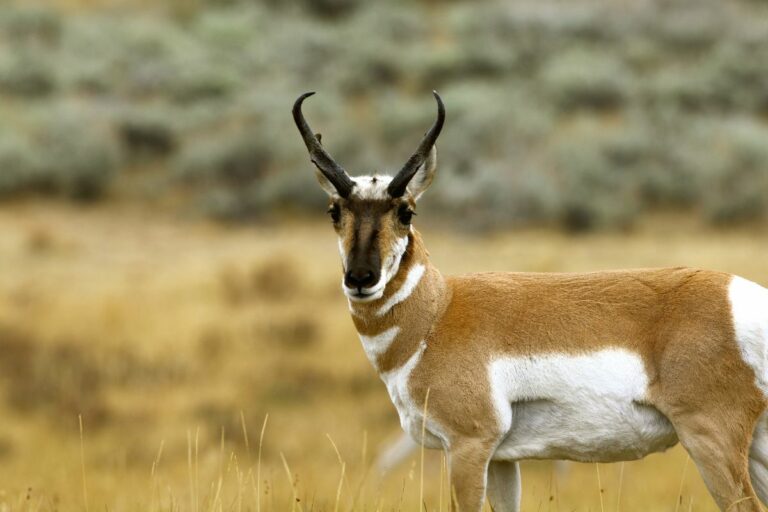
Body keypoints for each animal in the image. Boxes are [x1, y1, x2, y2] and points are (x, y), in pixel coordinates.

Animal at [292, 91, 768, 512]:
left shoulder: (468, 446)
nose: (360, 278)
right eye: (335, 210)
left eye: (405, 211)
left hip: (709, 440)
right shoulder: (503, 459)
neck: (438, 313)